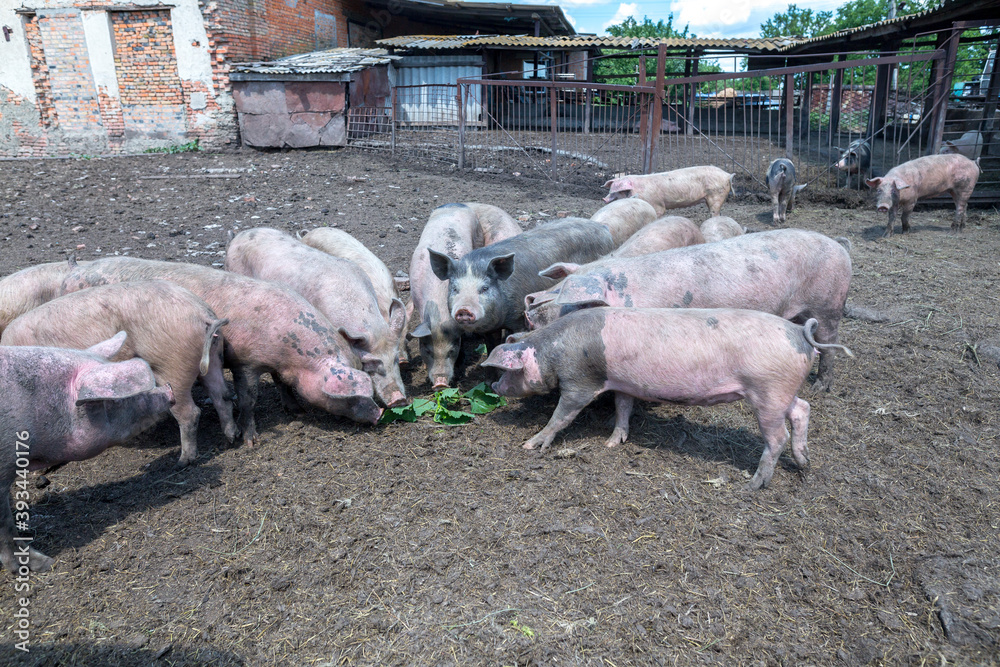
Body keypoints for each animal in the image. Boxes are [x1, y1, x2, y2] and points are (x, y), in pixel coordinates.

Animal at [2, 281, 235, 466]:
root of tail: (203, 314)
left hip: (172, 365)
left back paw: (183, 461)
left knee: (190, 413)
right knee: (222, 396)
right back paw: (232, 437)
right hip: (213, 357)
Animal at [60, 257, 380, 444]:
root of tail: (71, 274)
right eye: (353, 395)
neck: (291, 354)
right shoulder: (245, 363)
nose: (378, 414)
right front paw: (250, 440)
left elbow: (281, 384)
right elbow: (249, 399)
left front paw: (295, 409)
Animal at [483, 307, 853, 490]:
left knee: (778, 436)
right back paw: (804, 463)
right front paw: (613, 443)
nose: (495, 388)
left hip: (768, 391)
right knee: (802, 409)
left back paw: (754, 484)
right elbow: (623, 408)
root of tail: (800, 333)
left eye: (508, 372)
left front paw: (531, 445)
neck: (552, 351)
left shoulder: (580, 381)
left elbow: (563, 415)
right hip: (783, 392)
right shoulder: (623, 383)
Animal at [522, 229, 852, 390]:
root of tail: (840, 246)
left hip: (829, 303)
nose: (529, 301)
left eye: (565, 295)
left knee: (831, 343)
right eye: (559, 283)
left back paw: (820, 388)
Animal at [602, 166, 735, 217]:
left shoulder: (656, 204)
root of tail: (727, 175)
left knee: (715, 212)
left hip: (716, 194)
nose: (604, 198)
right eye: (610, 189)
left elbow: (659, 212)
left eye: (615, 191)